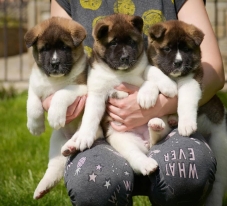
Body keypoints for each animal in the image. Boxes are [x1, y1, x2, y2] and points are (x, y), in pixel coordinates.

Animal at [24, 17, 88, 200]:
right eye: (45, 49)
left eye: (64, 48)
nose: (54, 63)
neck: (55, 81)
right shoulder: (35, 84)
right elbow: (33, 103)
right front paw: (35, 126)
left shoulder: (82, 88)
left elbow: (61, 93)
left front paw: (54, 116)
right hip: (56, 142)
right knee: (55, 167)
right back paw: (43, 187)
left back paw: (72, 146)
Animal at [61, 14, 160, 175]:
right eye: (113, 43)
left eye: (131, 42)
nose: (125, 57)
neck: (118, 74)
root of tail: (146, 142)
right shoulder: (97, 94)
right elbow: (90, 118)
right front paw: (84, 137)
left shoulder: (147, 70)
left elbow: (150, 81)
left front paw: (146, 96)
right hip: (122, 140)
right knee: (134, 155)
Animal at [142, 19, 227, 206]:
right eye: (167, 48)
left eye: (186, 49)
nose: (178, 63)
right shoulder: (150, 68)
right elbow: (153, 75)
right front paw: (147, 95)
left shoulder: (192, 81)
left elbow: (186, 102)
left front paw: (186, 125)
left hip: (220, 145)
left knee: (217, 185)